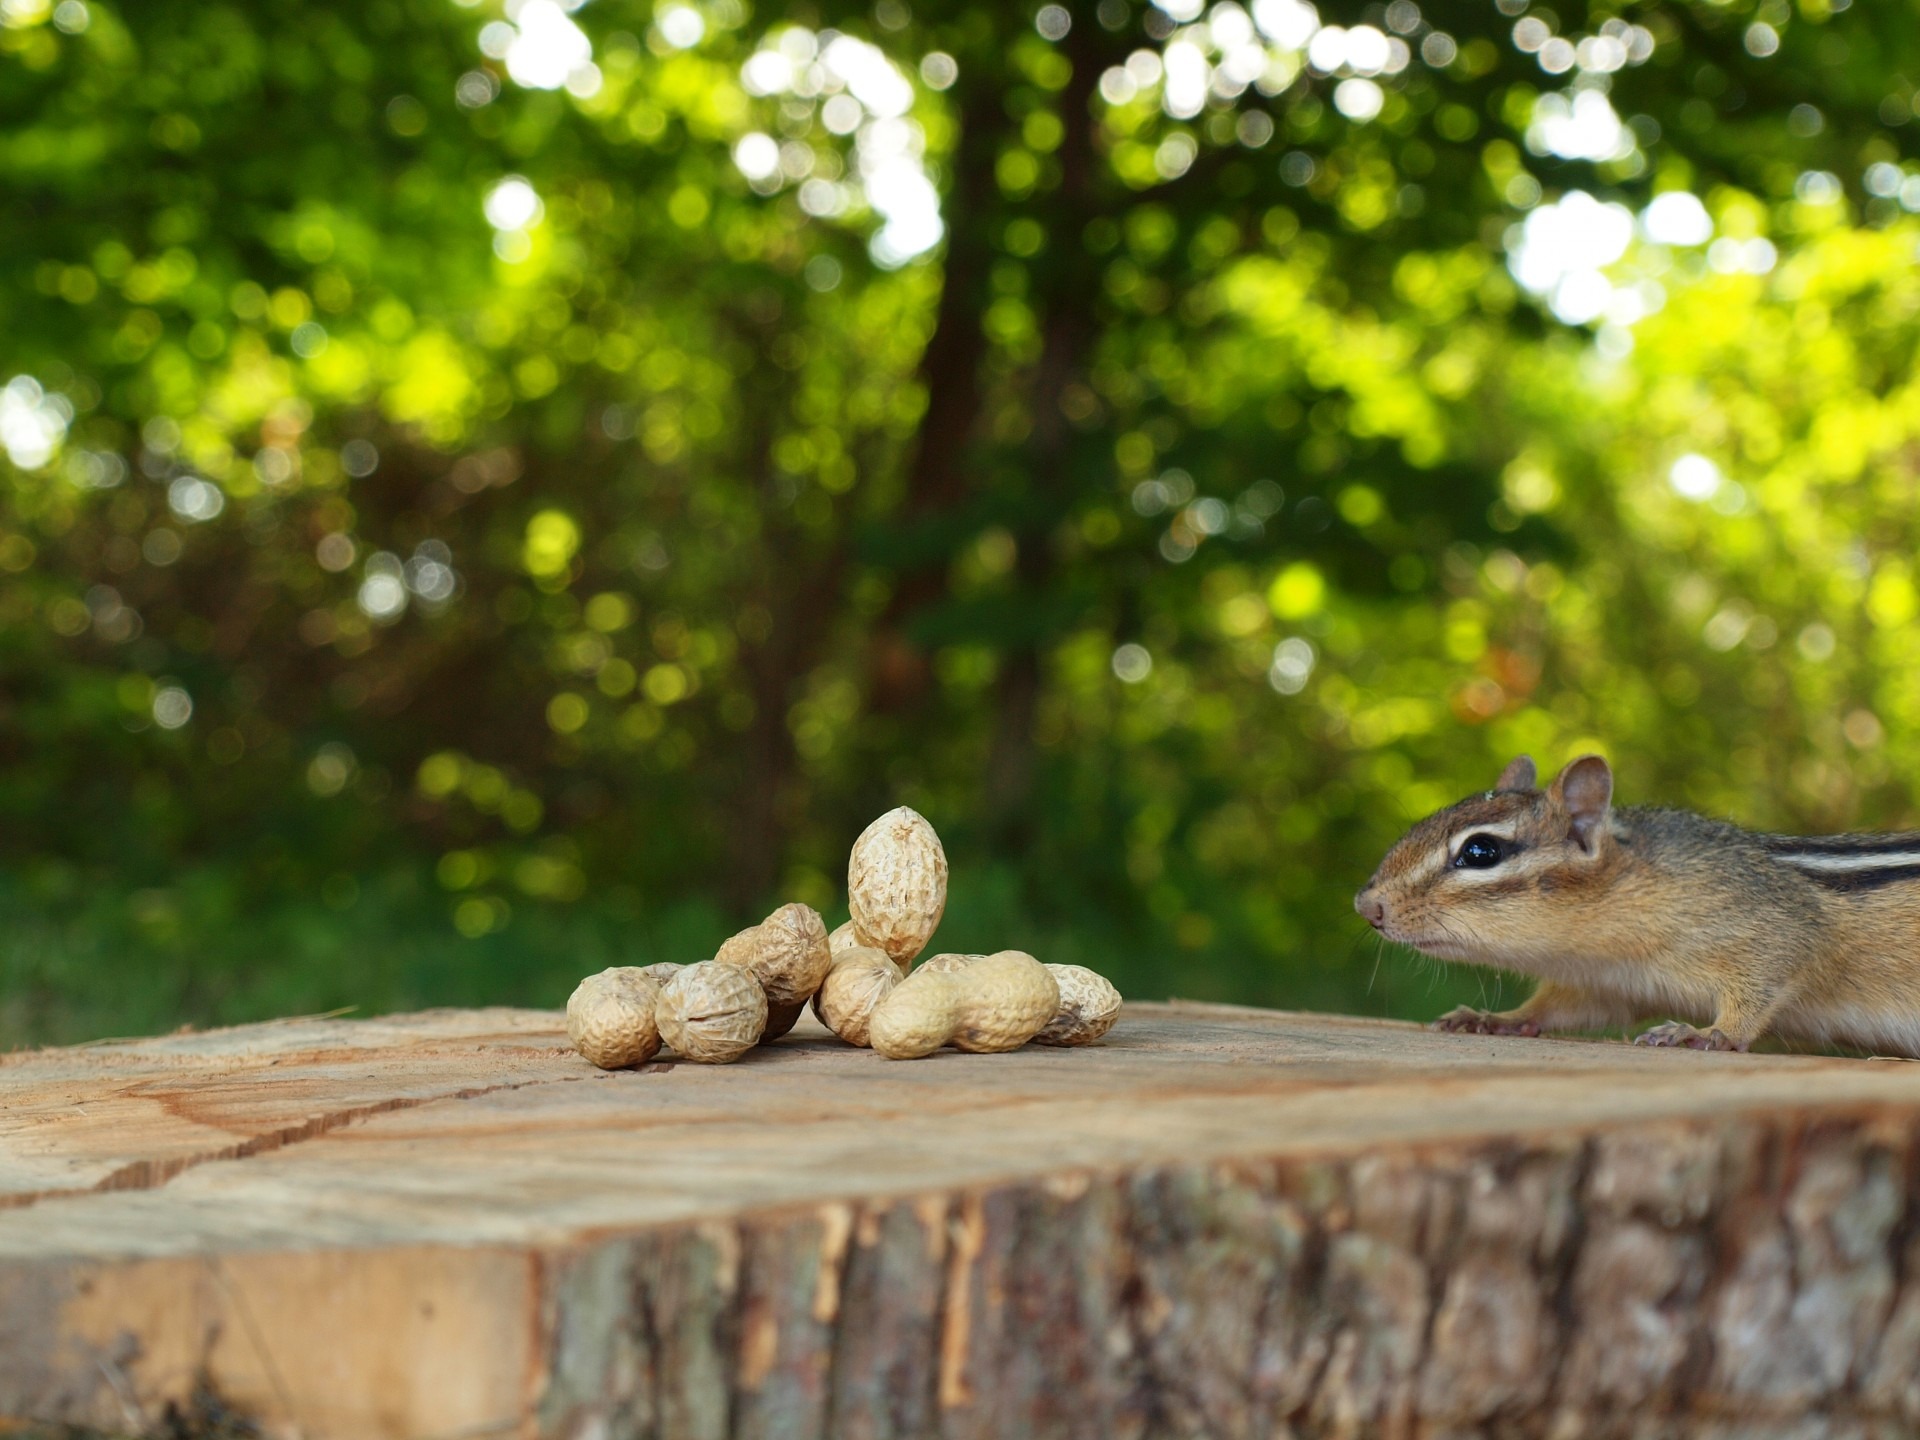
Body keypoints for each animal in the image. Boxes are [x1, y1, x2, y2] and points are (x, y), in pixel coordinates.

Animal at [1354, 753, 1920, 1057]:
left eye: (1480, 852)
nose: (1367, 905)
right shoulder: (1607, 983)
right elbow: (1561, 1007)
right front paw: (1496, 1018)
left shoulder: (1772, 928)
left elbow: (1764, 986)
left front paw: (1708, 1033)